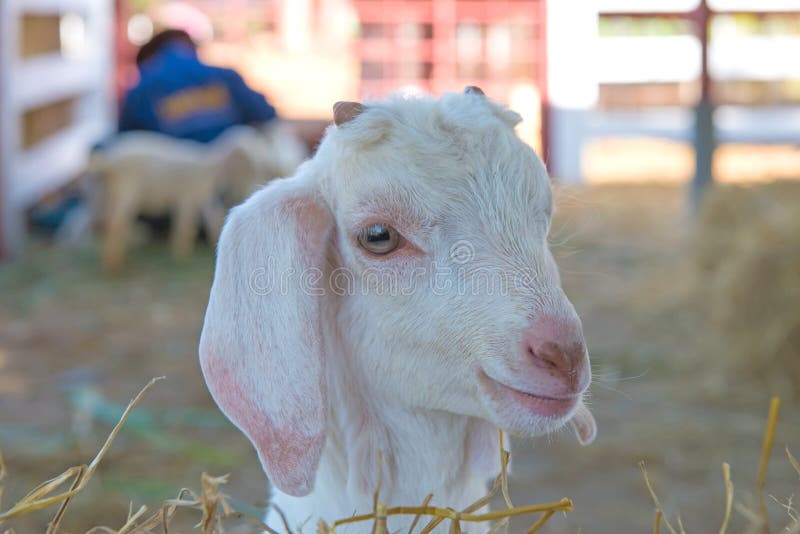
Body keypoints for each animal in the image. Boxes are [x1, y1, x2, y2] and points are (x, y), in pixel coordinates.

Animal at [88, 123, 306, 272]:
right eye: (246, 158)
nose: (266, 167)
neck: (209, 166)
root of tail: (109, 162)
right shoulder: (188, 196)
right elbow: (185, 225)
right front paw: (181, 254)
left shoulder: (203, 197)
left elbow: (213, 218)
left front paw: (212, 245)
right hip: (127, 190)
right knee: (115, 224)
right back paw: (114, 266)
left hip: (107, 193)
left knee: (106, 224)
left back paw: (112, 260)